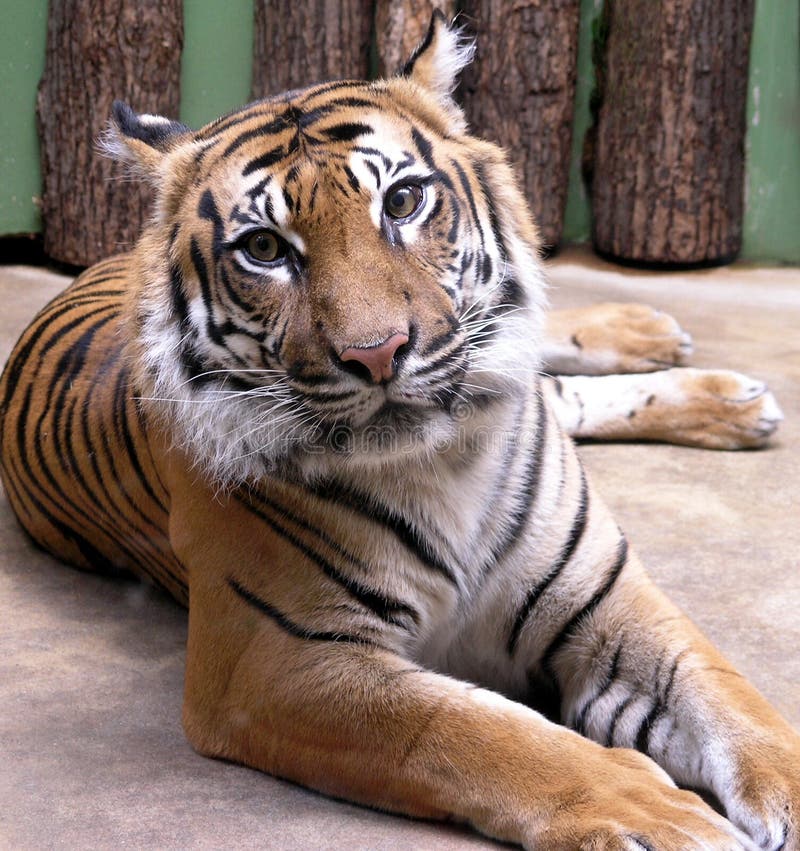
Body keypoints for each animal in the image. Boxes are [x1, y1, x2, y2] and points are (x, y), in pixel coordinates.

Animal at [0, 13, 797, 850]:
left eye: (404, 201)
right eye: (264, 248)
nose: (377, 352)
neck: (444, 463)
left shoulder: (607, 603)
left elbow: (732, 700)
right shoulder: (277, 663)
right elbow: (478, 732)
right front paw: (656, 813)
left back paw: (672, 348)